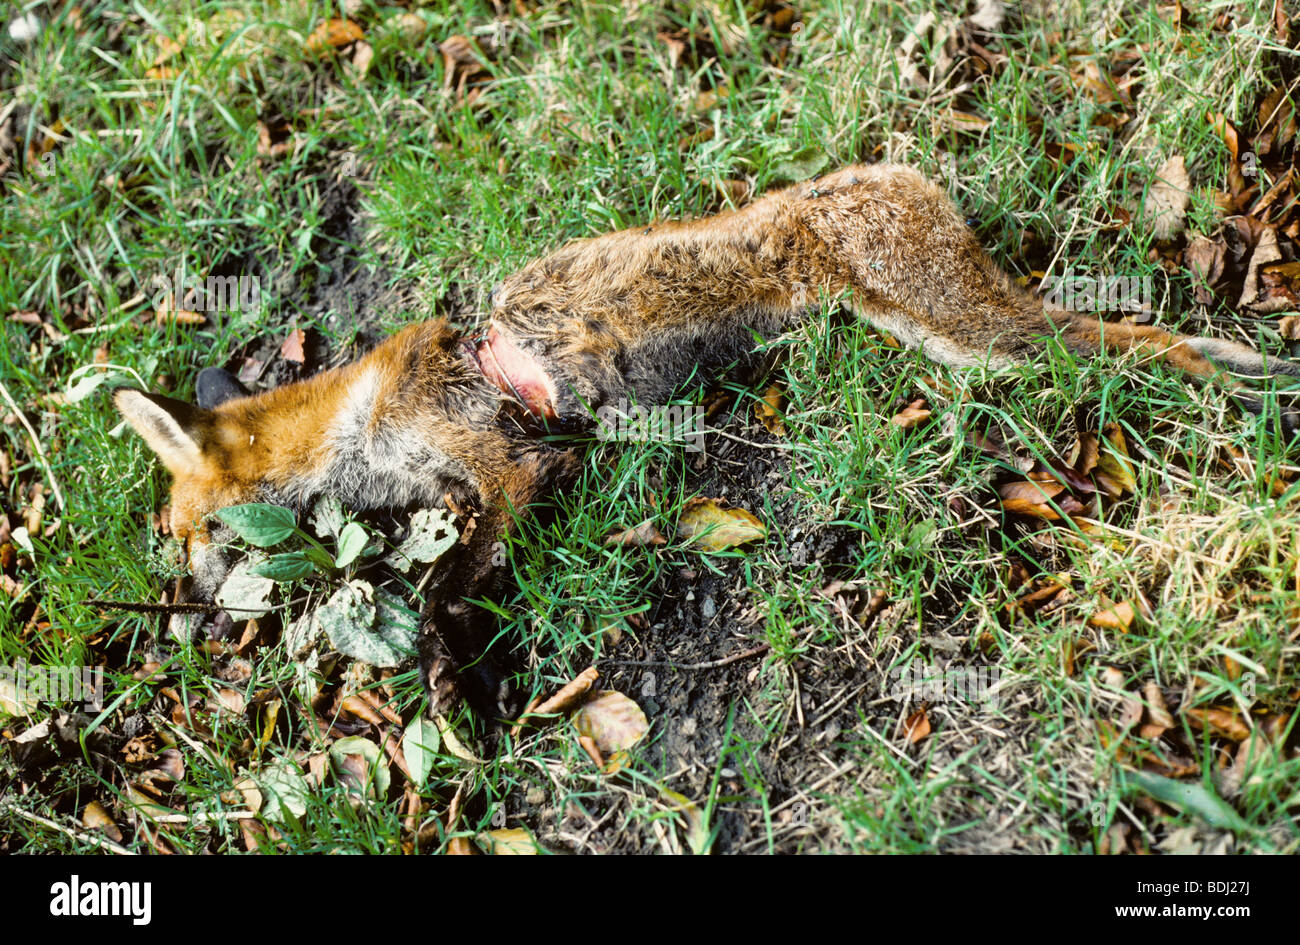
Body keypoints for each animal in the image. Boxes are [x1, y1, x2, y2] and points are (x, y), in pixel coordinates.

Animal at [115, 163, 1299, 716]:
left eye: (184, 537)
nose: (185, 621)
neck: (362, 422)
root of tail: (891, 171)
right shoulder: (467, 480)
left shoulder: (510, 463)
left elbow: (449, 594)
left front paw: (460, 693)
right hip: (958, 338)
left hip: (976, 337)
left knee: (1133, 344)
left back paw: (1252, 387)